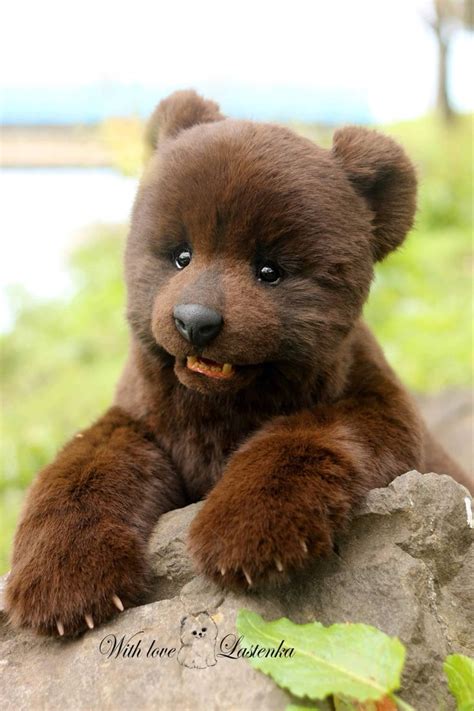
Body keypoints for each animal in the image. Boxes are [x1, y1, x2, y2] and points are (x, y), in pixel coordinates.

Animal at [6, 90, 468, 638]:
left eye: (270, 270)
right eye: (181, 254)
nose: (195, 321)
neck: (217, 409)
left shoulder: (366, 392)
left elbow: (316, 435)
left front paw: (246, 535)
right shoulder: (146, 413)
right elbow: (86, 463)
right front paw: (64, 584)